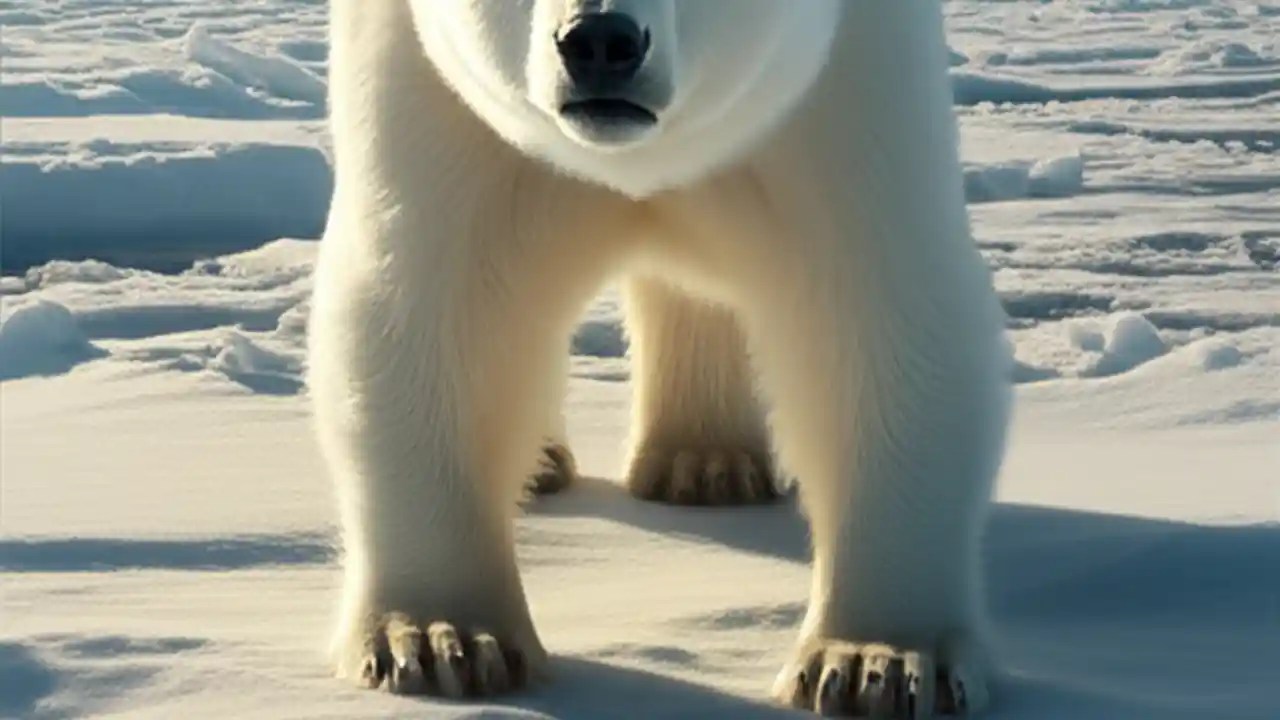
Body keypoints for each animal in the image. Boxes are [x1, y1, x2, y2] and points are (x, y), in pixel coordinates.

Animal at [308, 0, 1011, 716]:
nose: (600, 41)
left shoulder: (852, 84)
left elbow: (885, 318)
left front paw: (880, 663)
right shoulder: (430, 93)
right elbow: (434, 312)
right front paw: (440, 643)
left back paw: (704, 461)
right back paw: (549, 463)